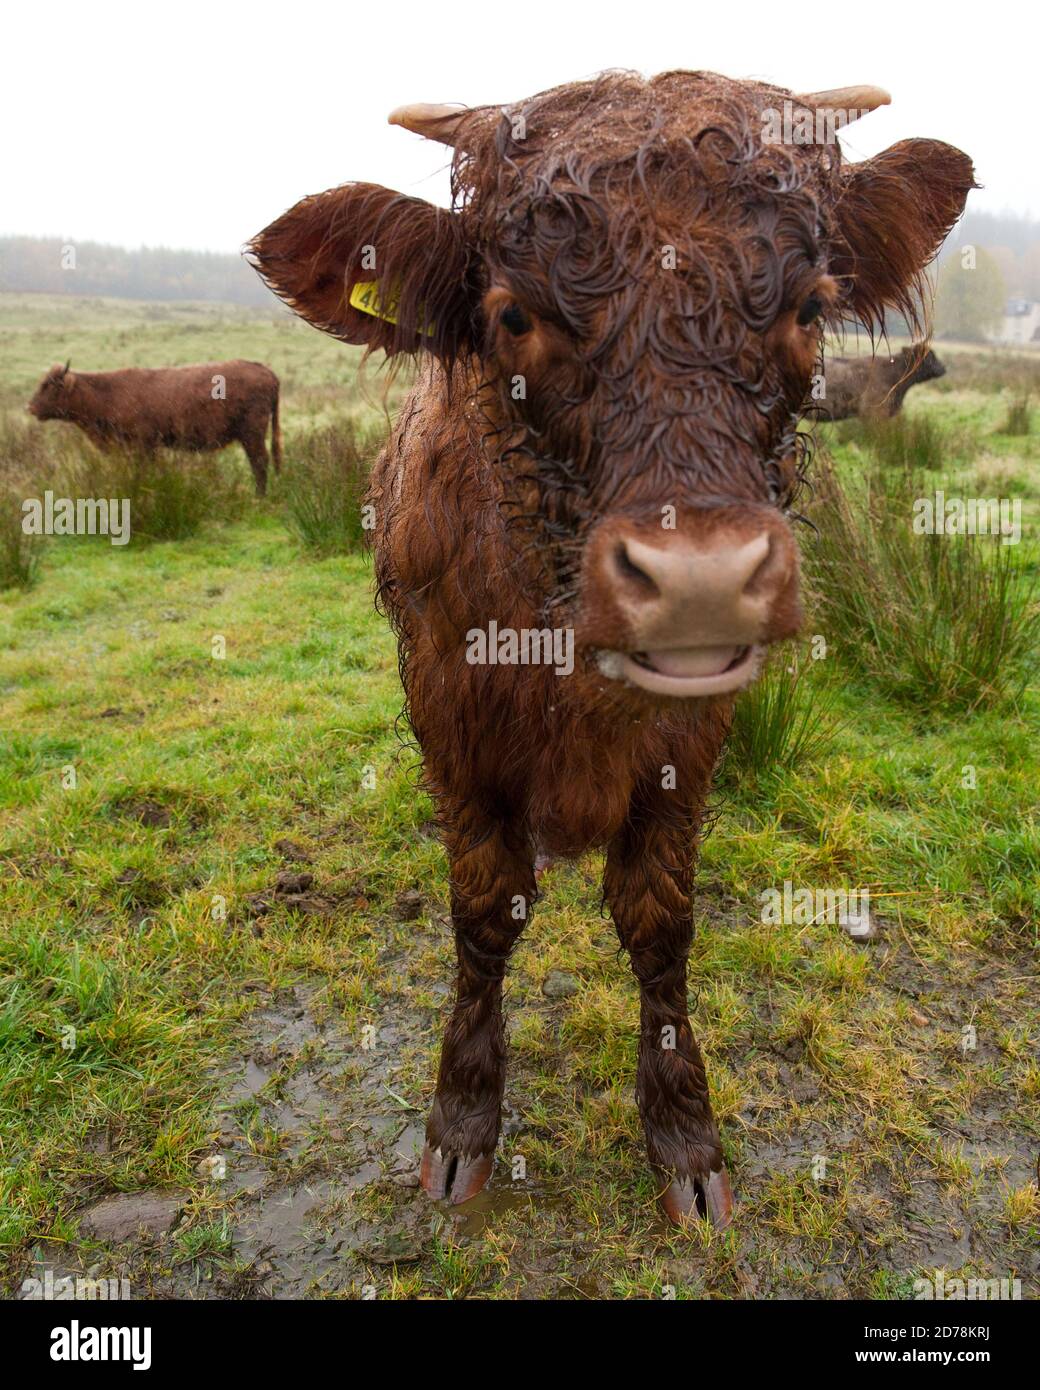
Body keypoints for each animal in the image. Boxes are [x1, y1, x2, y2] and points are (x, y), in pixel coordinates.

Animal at [27, 360, 281, 495]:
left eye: (49, 385)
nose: (30, 407)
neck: (107, 393)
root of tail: (266, 370)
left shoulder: (144, 446)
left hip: (252, 435)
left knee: (260, 462)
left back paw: (259, 497)